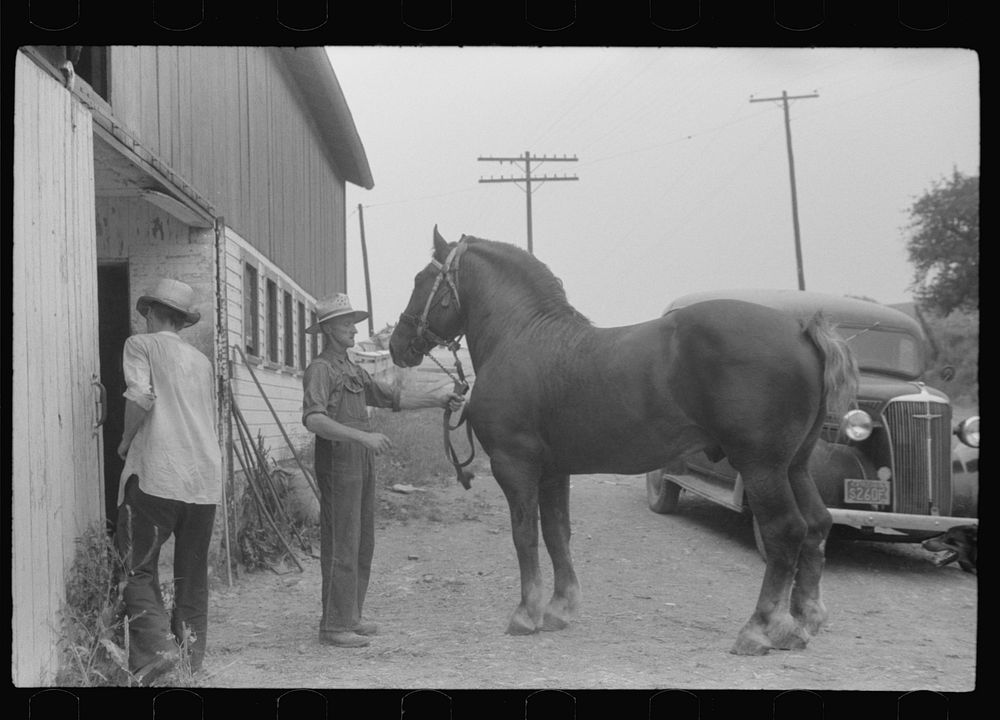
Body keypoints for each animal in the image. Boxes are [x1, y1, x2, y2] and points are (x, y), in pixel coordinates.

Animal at [389, 226, 858, 655]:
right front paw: (560, 608)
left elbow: (525, 535)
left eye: (419, 279)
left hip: (762, 467)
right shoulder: (554, 470)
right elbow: (557, 532)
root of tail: (801, 329)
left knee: (785, 531)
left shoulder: (514, 465)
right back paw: (802, 621)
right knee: (817, 524)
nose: (397, 344)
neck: (521, 337)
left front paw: (525, 614)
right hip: (794, 465)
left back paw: (759, 629)